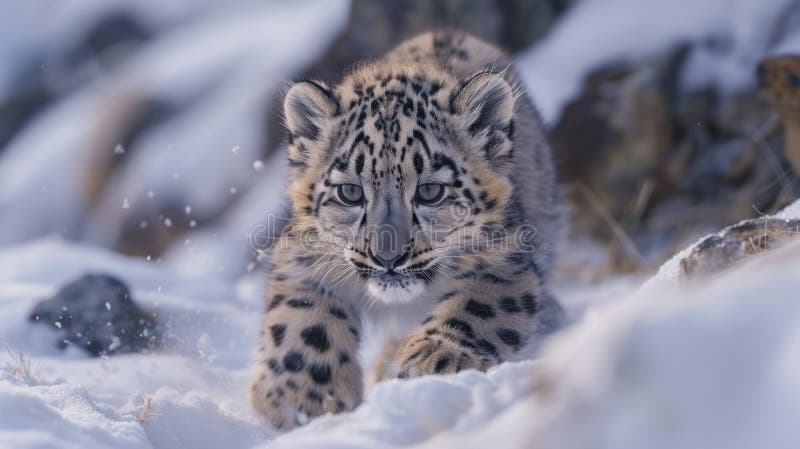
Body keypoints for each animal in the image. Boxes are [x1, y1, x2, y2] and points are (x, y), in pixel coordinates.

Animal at [250, 30, 564, 430]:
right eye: (350, 192)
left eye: (430, 191)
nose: (388, 257)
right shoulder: (302, 254)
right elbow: (301, 316)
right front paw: (303, 395)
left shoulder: (504, 259)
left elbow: (478, 305)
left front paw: (433, 357)